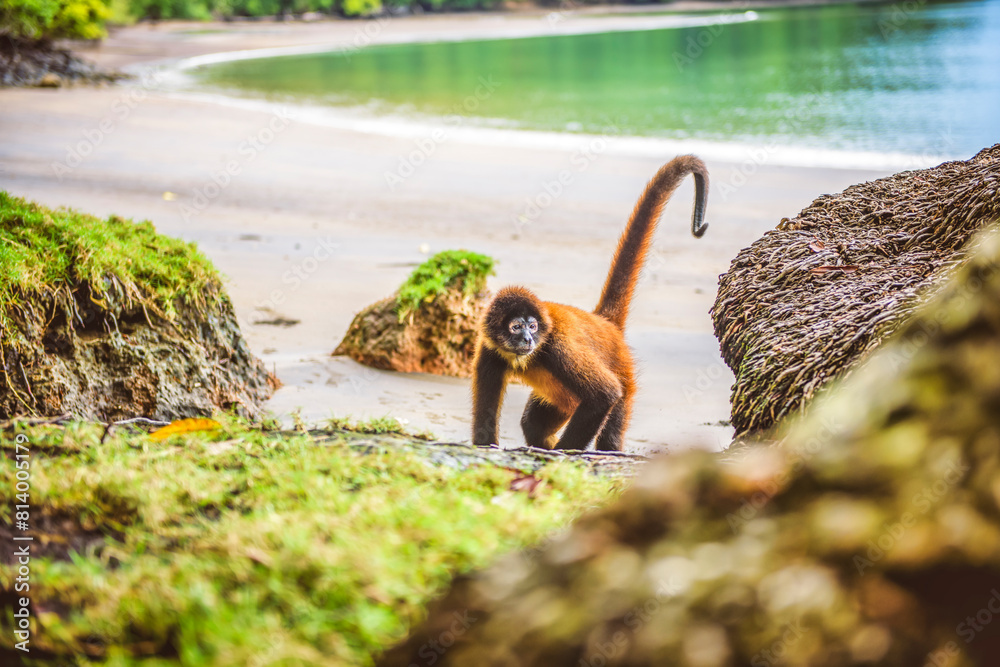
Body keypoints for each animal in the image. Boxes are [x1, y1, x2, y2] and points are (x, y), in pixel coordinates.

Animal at [470, 155, 708, 451]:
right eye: (516, 327)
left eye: (532, 327)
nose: (527, 339)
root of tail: (604, 322)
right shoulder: (489, 350)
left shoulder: (558, 346)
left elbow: (605, 395)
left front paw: (563, 455)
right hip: (564, 401)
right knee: (534, 423)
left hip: (623, 373)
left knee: (610, 424)